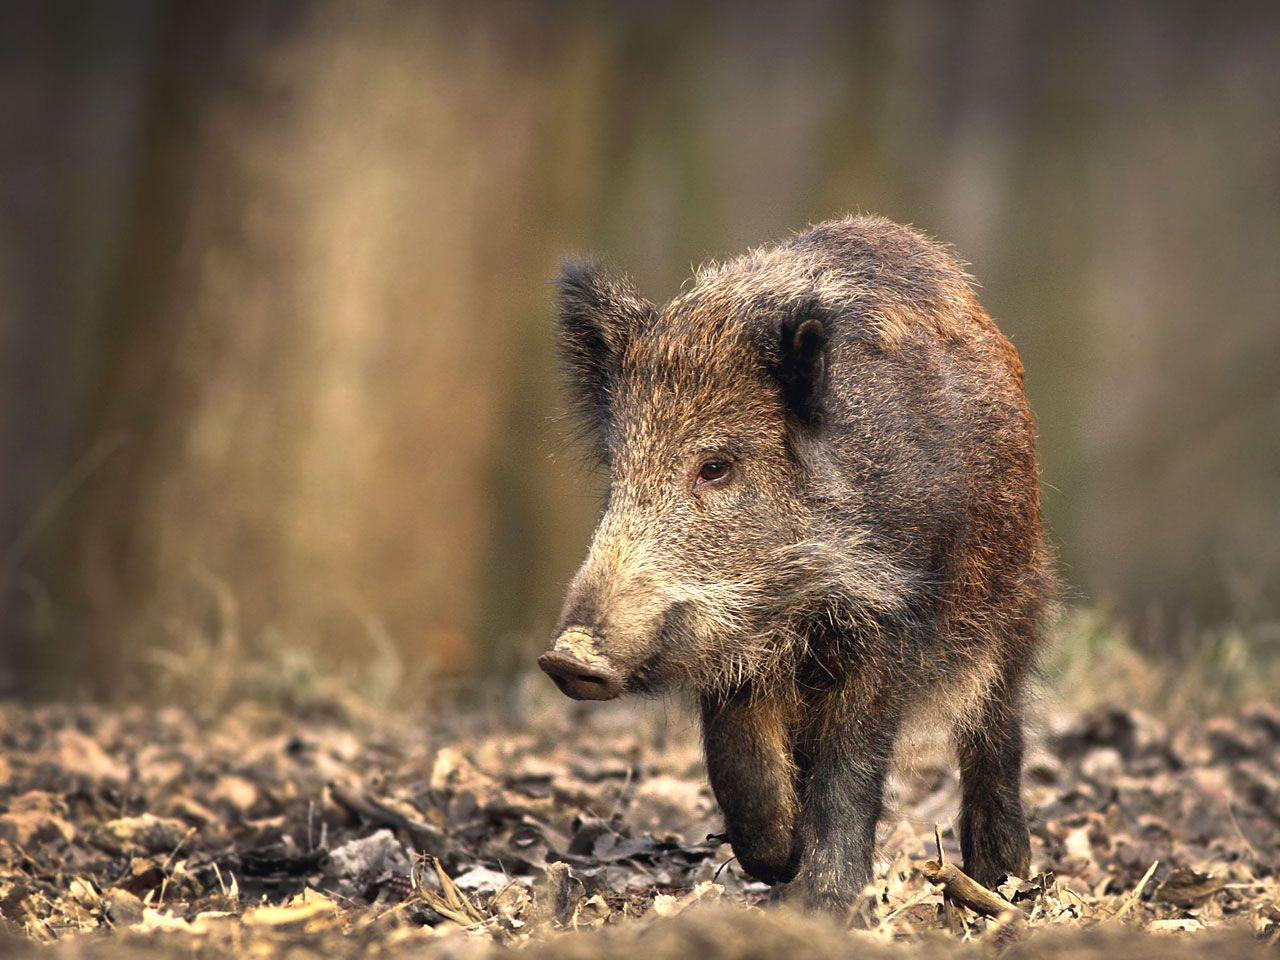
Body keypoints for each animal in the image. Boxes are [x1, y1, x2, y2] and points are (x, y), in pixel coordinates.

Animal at [539, 216, 1054, 914]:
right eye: (619, 472)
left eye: (715, 467)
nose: (567, 657)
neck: (795, 603)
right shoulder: (732, 651)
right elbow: (739, 762)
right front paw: (778, 862)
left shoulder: (892, 621)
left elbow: (852, 764)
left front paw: (822, 902)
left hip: (1016, 594)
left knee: (996, 726)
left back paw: (1000, 878)